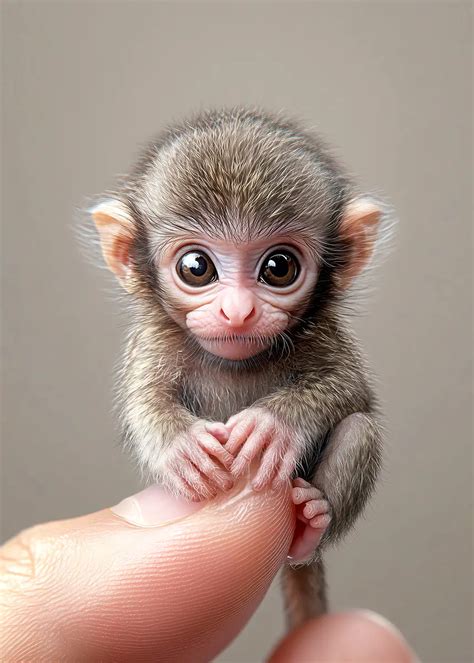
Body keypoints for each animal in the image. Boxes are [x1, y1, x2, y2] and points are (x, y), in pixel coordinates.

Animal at [90, 107, 389, 630]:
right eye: (196, 267)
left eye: (279, 267)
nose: (238, 312)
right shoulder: (153, 340)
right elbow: (145, 402)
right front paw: (182, 446)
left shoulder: (324, 333)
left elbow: (349, 386)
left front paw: (274, 425)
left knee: (359, 429)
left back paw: (311, 529)